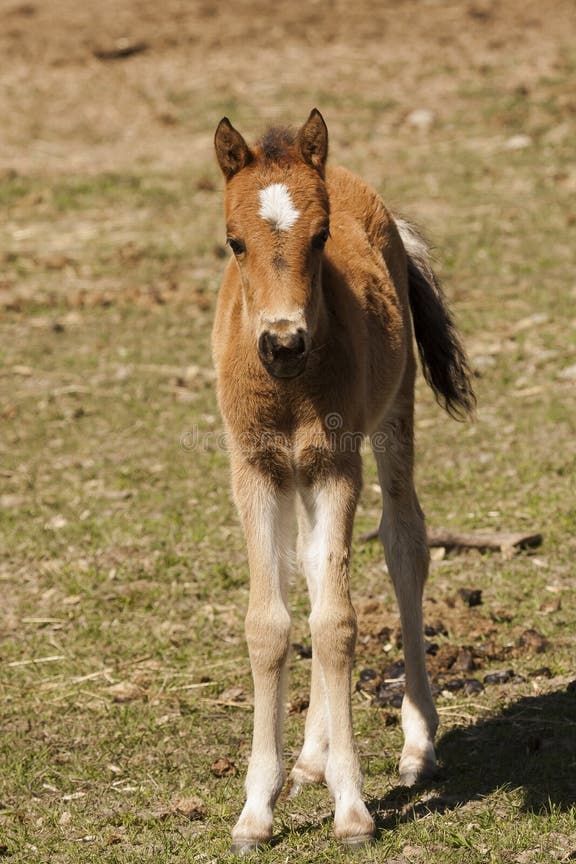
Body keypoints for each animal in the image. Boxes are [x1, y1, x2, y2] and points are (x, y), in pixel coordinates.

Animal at [212, 108, 475, 853]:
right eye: (234, 242)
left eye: (322, 235)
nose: (284, 343)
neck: (288, 389)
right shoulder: (257, 469)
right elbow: (270, 623)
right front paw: (257, 810)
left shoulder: (336, 464)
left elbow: (335, 622)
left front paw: (353, 807)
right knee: (309, 565)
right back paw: (309, 759)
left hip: (394, 414)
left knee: (405, 542)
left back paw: (417, 746)